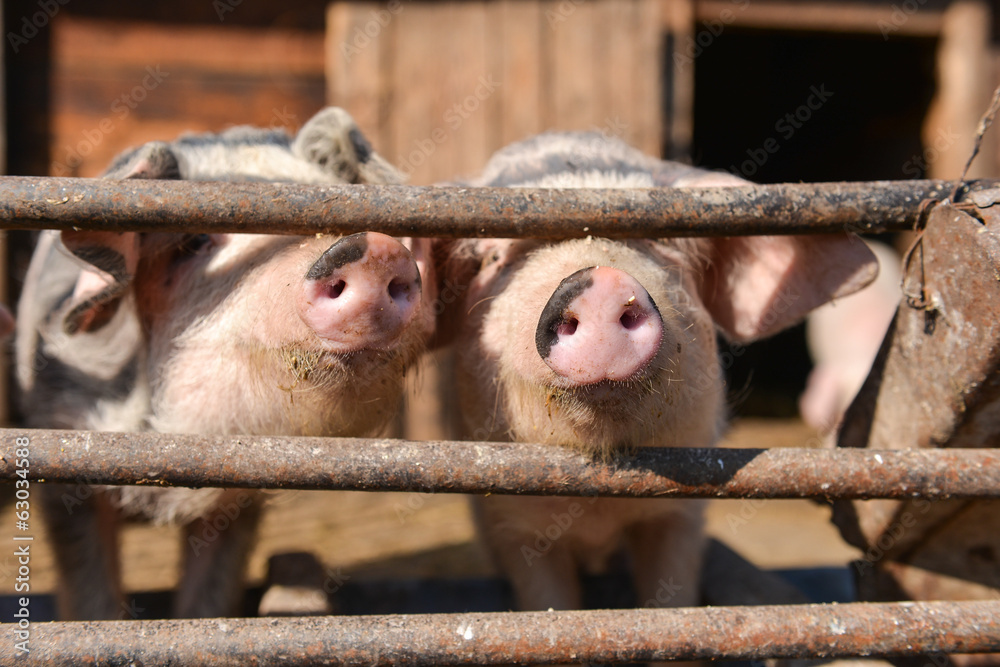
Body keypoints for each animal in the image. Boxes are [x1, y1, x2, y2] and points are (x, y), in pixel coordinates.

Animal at [16, 107, 436, 619]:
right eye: (195, 240)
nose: (374, 248)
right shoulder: (59, 451)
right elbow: (90, 588)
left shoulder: (237, 490)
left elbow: (210, 594)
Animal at [438, 132, 878, 613]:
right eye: (494, 258)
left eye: (667, 246)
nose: (600, 277)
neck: (599, 498)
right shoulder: (512, 522)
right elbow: (548, 600)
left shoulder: (681, 508)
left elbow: (669, 595)